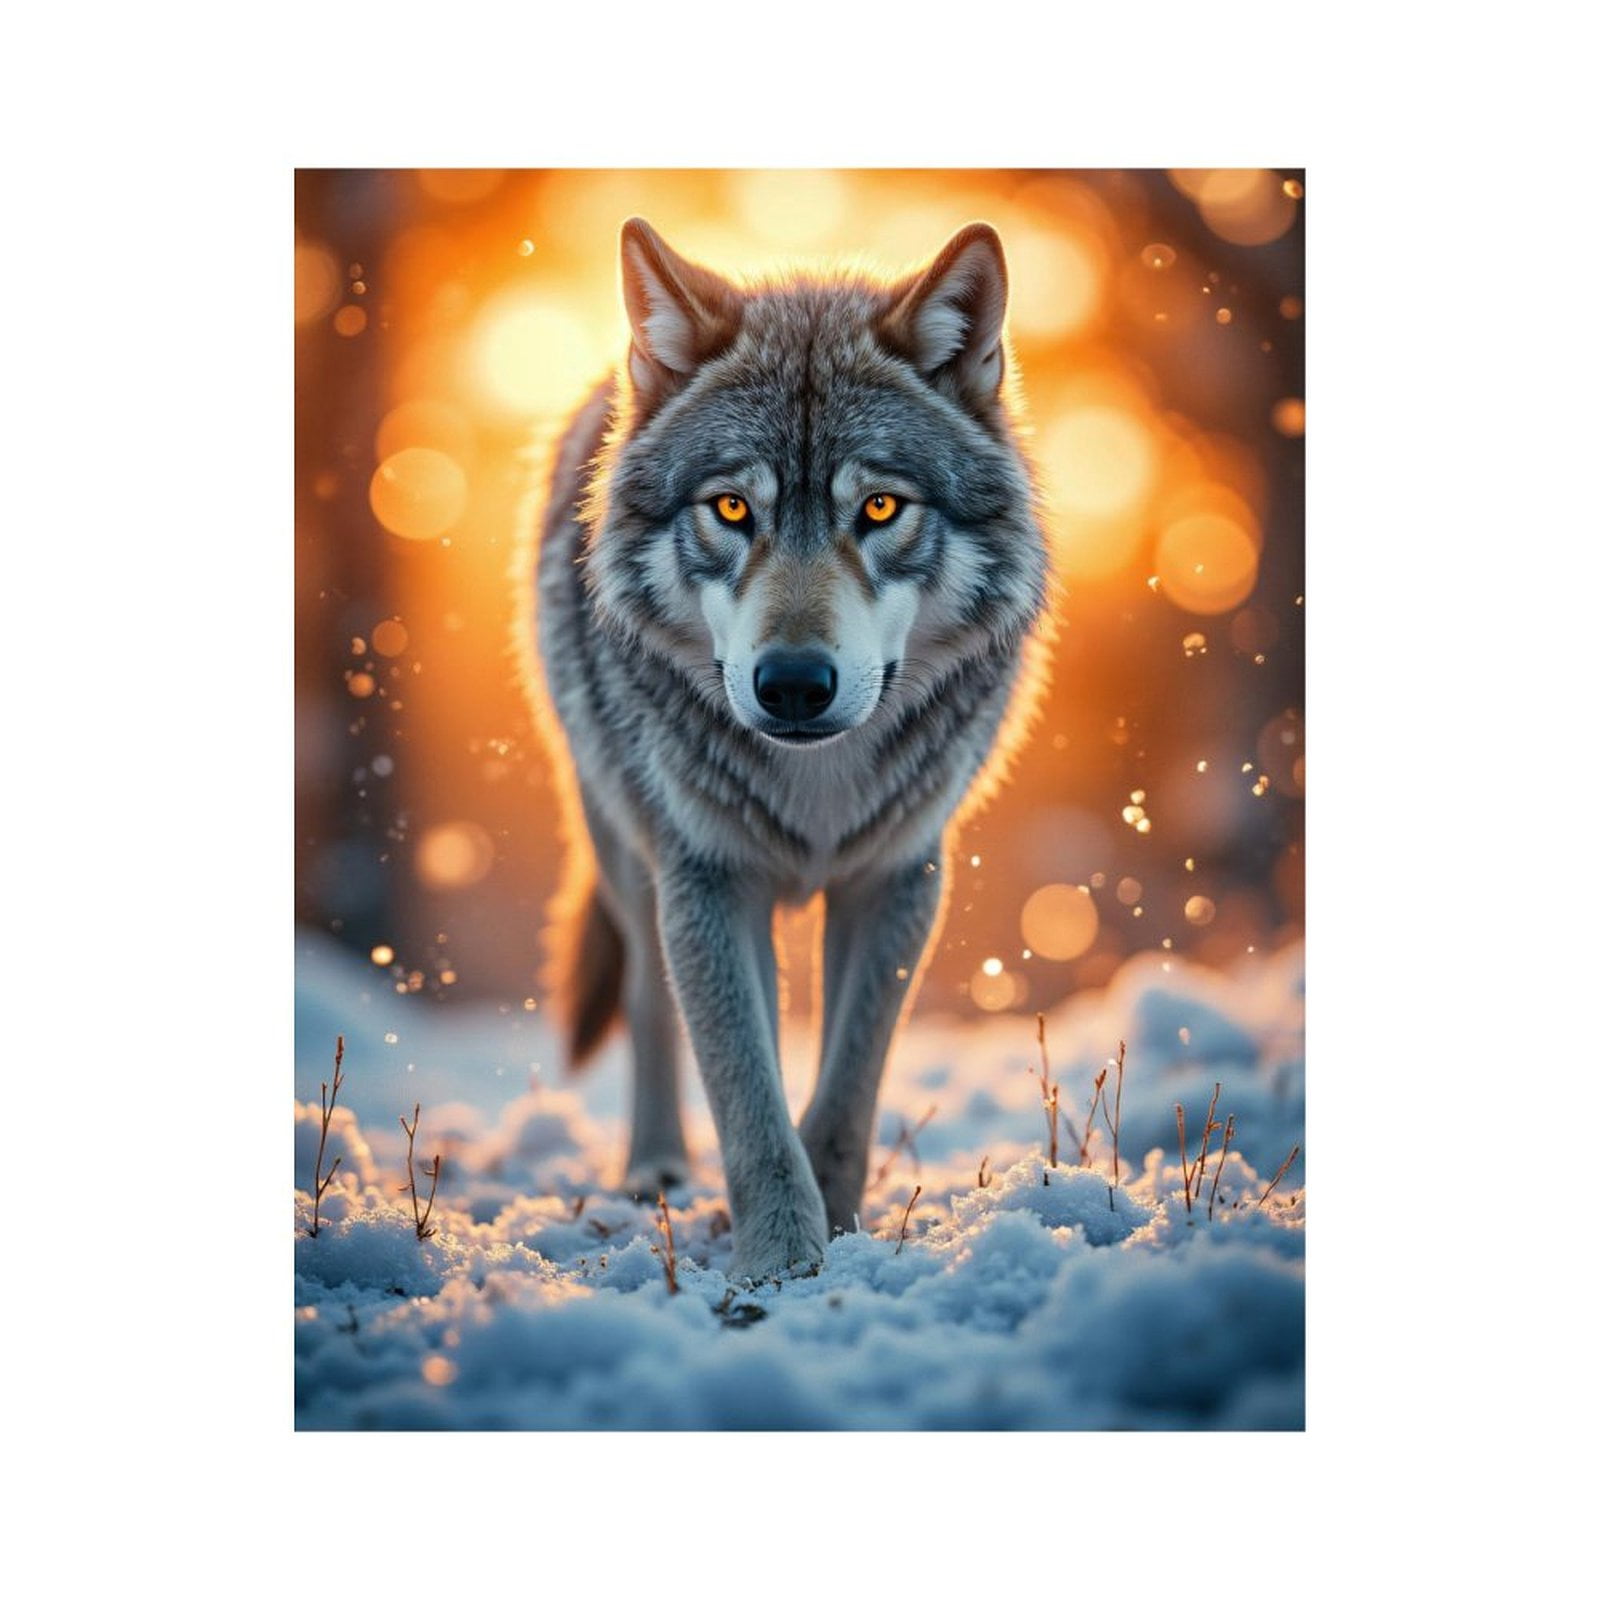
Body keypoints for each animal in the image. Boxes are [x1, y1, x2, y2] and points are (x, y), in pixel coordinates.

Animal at [518, 217, 1050, 1281]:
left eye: (880, 509)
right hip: (627, 855)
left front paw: (833, 1235)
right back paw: (655, 1171)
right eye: (732, 509)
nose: (794, 684)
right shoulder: (707, 881)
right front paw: (776, 1260)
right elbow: (747, 1097)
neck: (818, 788)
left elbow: (846, 1088)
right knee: (647, 999)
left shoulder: (899, 879)